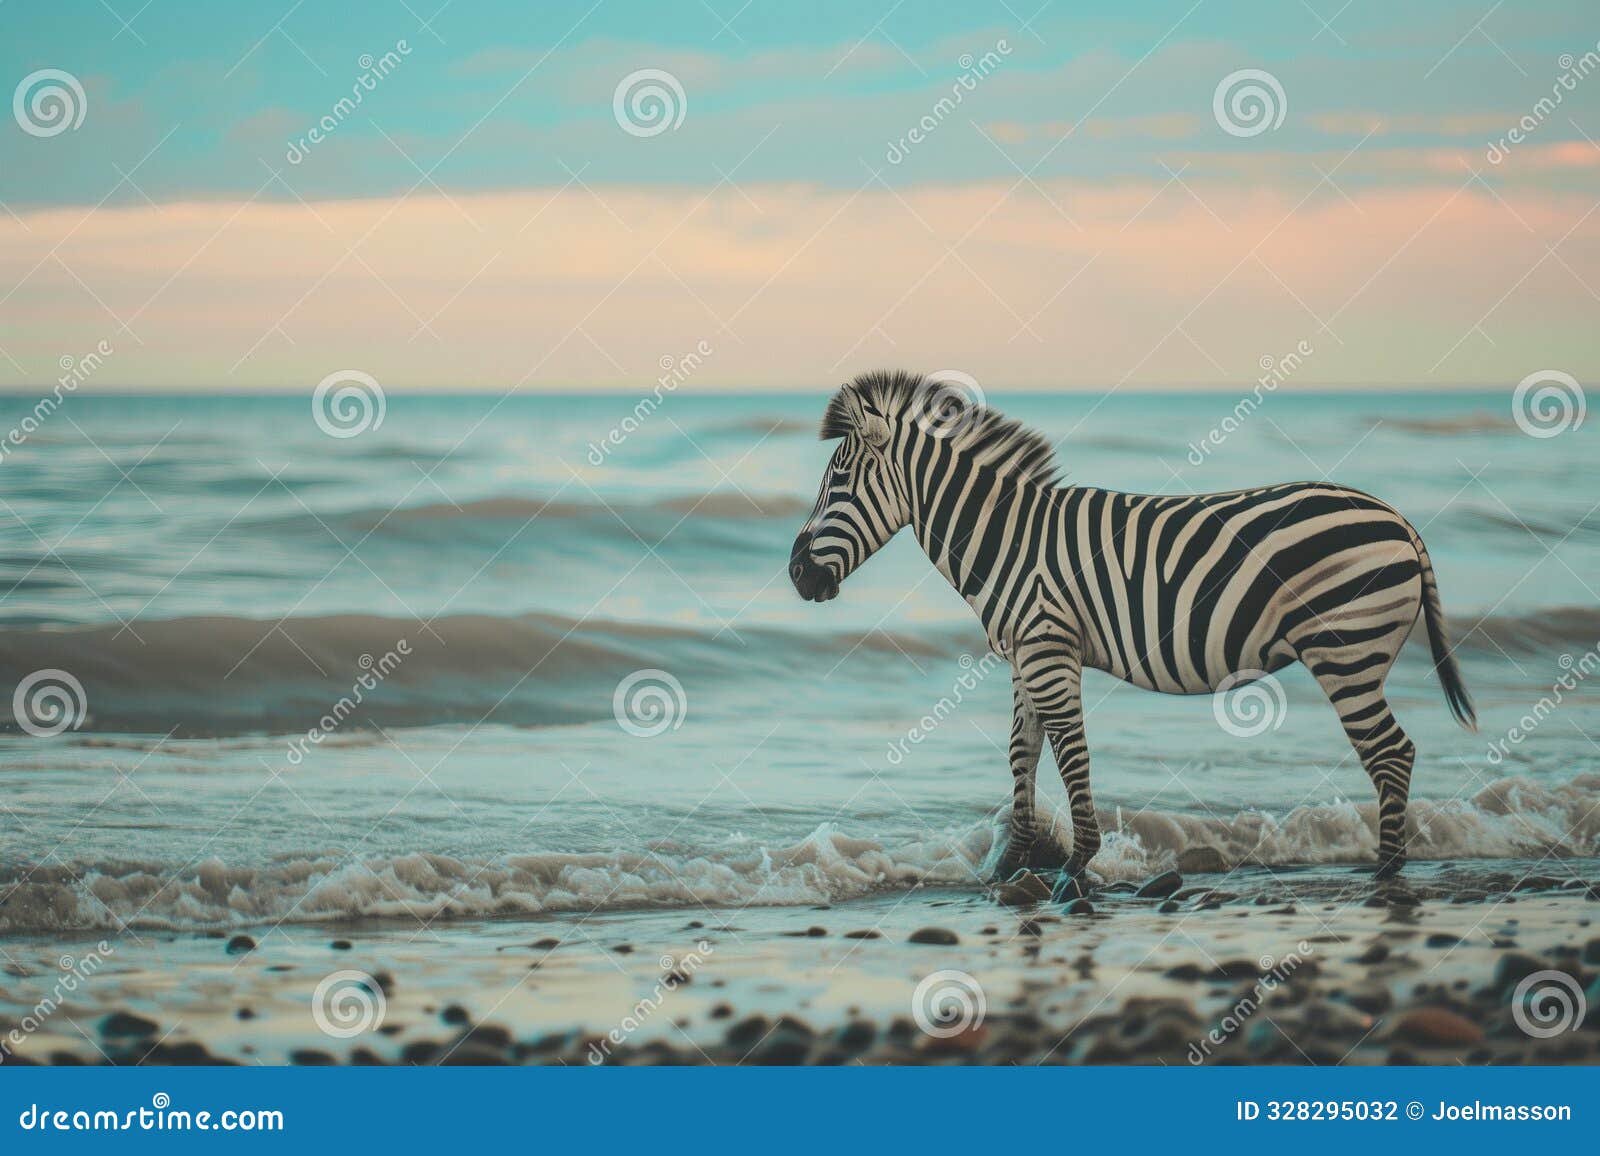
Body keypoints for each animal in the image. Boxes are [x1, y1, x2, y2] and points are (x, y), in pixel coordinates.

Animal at [789, 370, 1476, 881]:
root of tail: (1398, 518)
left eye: (838, 483)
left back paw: (1386, 874)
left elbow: (1071, 753)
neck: (1008, 537)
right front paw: (1012, 865)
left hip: (1346, 650)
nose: (796, 574)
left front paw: (1076, 864)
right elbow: (1021, 754)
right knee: (1394, 753)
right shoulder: (1025, 653)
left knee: (1390, 752)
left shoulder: (1049, 646)